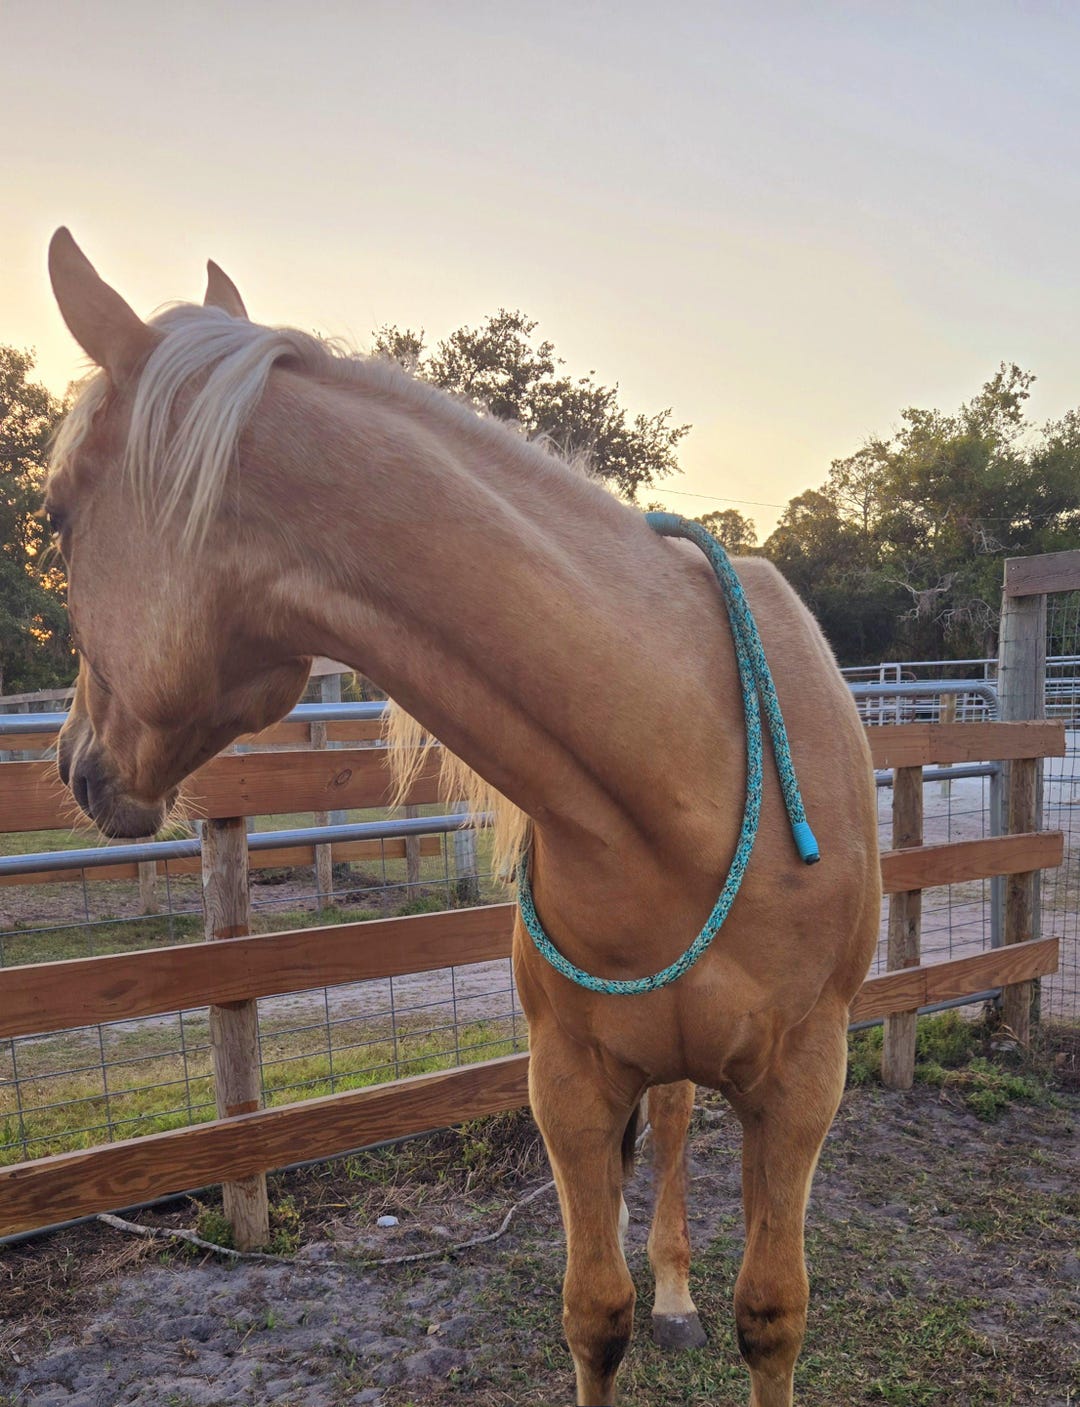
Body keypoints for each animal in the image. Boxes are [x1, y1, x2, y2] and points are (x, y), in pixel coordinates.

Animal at [45, 228, 880, 1407]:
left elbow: (772, 1314)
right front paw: (641, 1305)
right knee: (671, 1119)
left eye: (56, 515)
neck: (681, 772)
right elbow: (596, 1315)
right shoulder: (567, 1084)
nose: (72, 762)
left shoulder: (805, 1083)